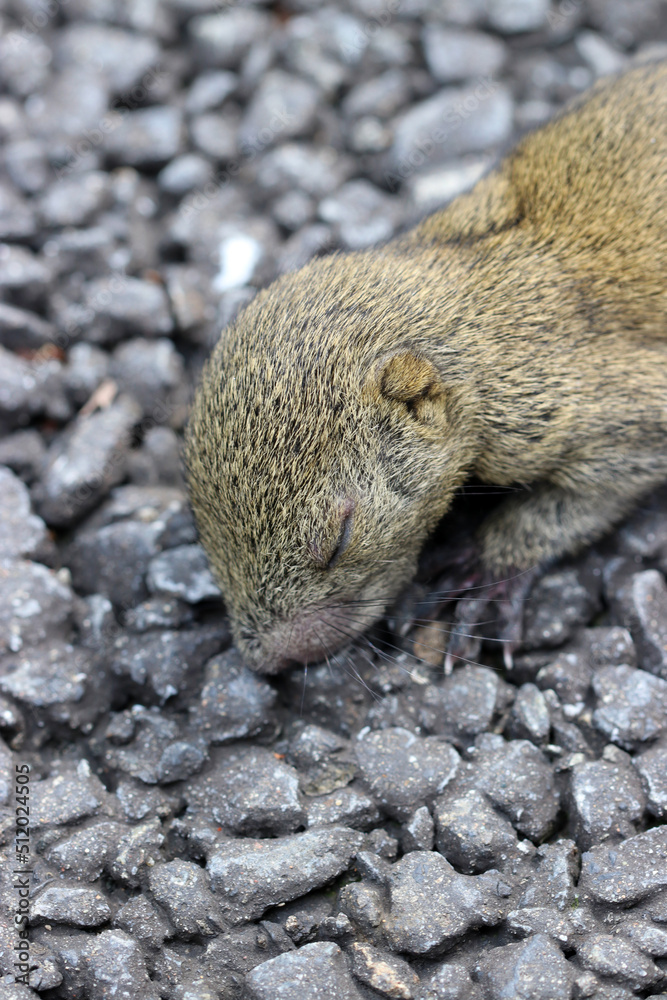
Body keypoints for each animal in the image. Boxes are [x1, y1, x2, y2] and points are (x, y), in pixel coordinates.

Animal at [186, 61, 667, 675]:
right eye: (200, 529)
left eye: (339, 540)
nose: (265, 661)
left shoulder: (587, 409)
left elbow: (576, 500)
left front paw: (486, 569)